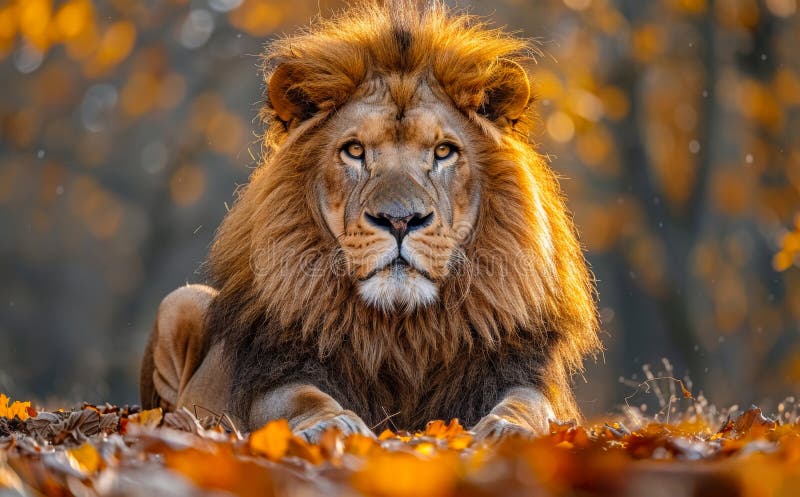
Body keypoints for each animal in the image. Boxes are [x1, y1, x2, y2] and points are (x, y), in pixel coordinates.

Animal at [140, 0, 601, 443]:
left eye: (444, 151)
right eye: (355, 150)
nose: (399, 220)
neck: (401, 330)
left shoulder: (516, 369)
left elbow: (529, 405)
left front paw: (508, 429)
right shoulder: (278, 372)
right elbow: (301, 399)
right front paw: (332, 424)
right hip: (181, 301)